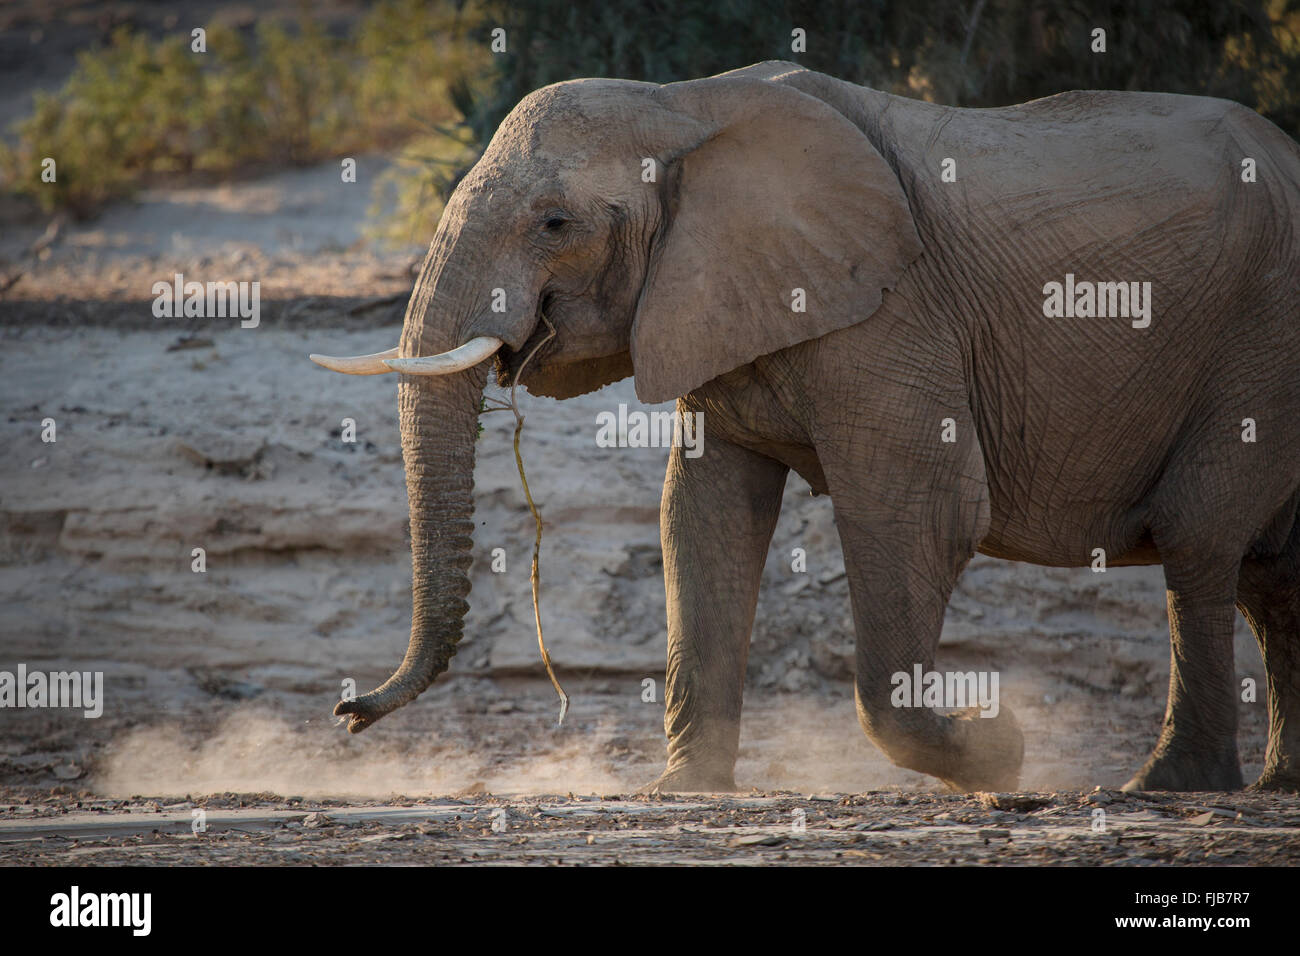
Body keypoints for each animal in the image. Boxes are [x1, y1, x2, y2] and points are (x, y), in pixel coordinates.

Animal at [310, 60, 1300, 794]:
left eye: (554, 222)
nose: (346, 714)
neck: (681, 105)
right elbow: (702, 515)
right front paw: (684, 792)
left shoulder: (894, 313)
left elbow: (918, 512)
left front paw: (1003, 750)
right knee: (1265, 575)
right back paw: (1272, 786)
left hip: (1258, 347)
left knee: (1199, 541)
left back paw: (1168, 786)